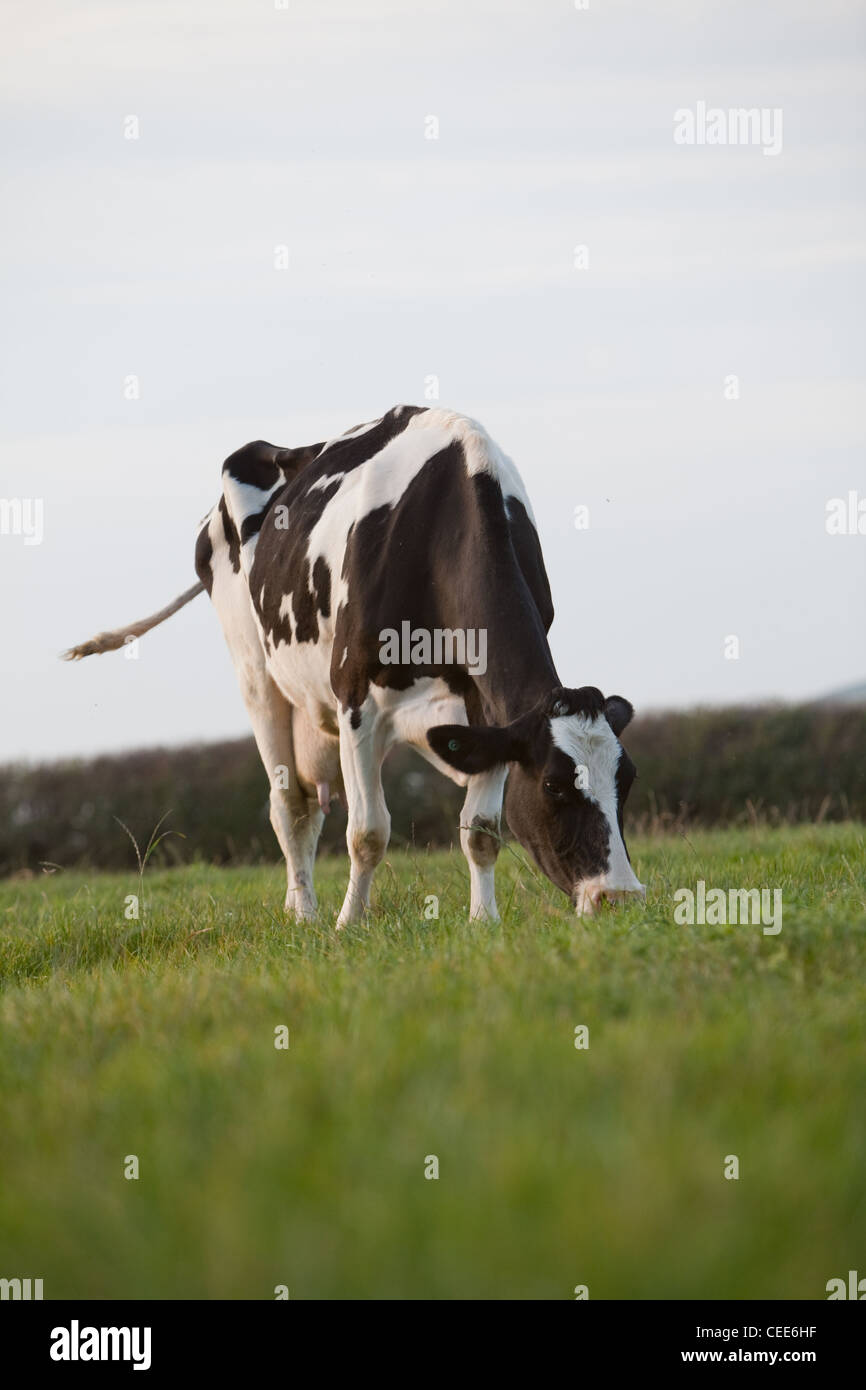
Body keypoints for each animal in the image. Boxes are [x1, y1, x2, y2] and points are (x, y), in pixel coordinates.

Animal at [64, 405, 645, 924]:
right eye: (554, 786)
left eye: (629, 780)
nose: (619, 897)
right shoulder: (356, 694)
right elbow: (367, 832)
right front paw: (349, 924)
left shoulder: (491, 714)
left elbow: (480, 829)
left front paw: (484, 921)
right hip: (255, 671)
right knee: (288, 805)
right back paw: (305, 913)